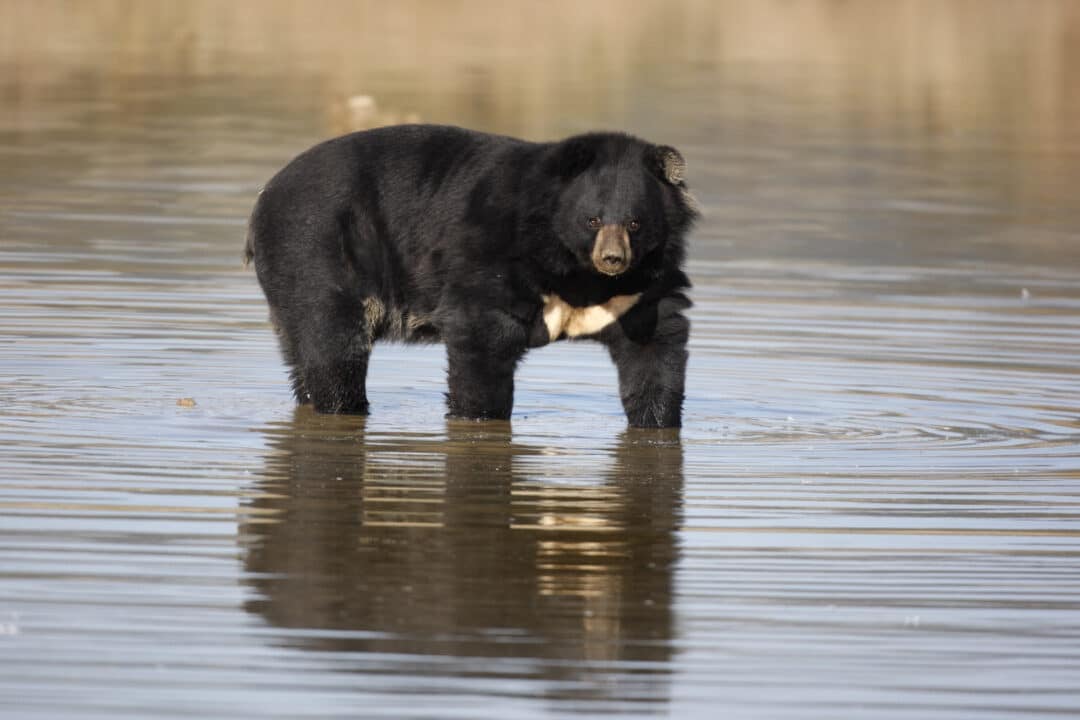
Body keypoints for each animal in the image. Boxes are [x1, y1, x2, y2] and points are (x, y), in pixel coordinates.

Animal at [244, 124, 697, 428]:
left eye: (636, 223)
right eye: (593, 220)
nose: (613, 259)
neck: (575, 269)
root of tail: (265, 194)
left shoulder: (639, 288)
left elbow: (655, 344)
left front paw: (658, 421)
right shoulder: (492, 252)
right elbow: (481, 339)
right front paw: (479, 418)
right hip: (314, 247)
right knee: (333, 347)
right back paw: (346, 407)